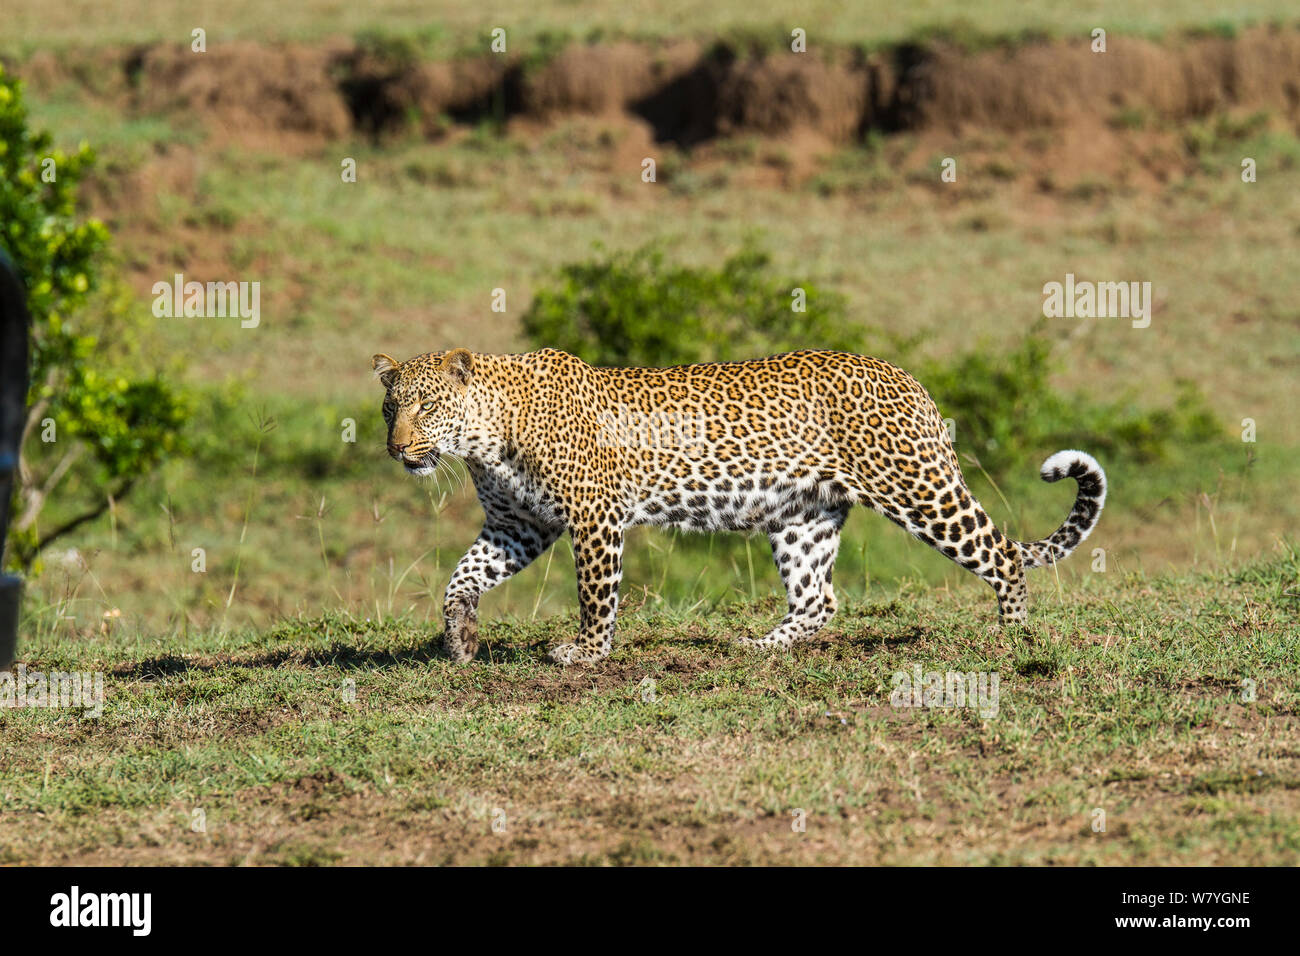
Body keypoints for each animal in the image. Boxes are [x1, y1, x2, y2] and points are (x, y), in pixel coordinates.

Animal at [371, 347, 1106, 666]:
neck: (484, 437)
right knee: (818, 599)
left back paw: (1013, 636)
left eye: (427, 406)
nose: (397, 448)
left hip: (917, 490)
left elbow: (594, 596)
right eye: (389, 408)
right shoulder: (516, 526)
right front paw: (460, 641)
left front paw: (587, 654)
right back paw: (759, 646)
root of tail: (908, 378)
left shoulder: (592, 518)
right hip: (803, 516)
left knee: (1004, 554)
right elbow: (460, 579)